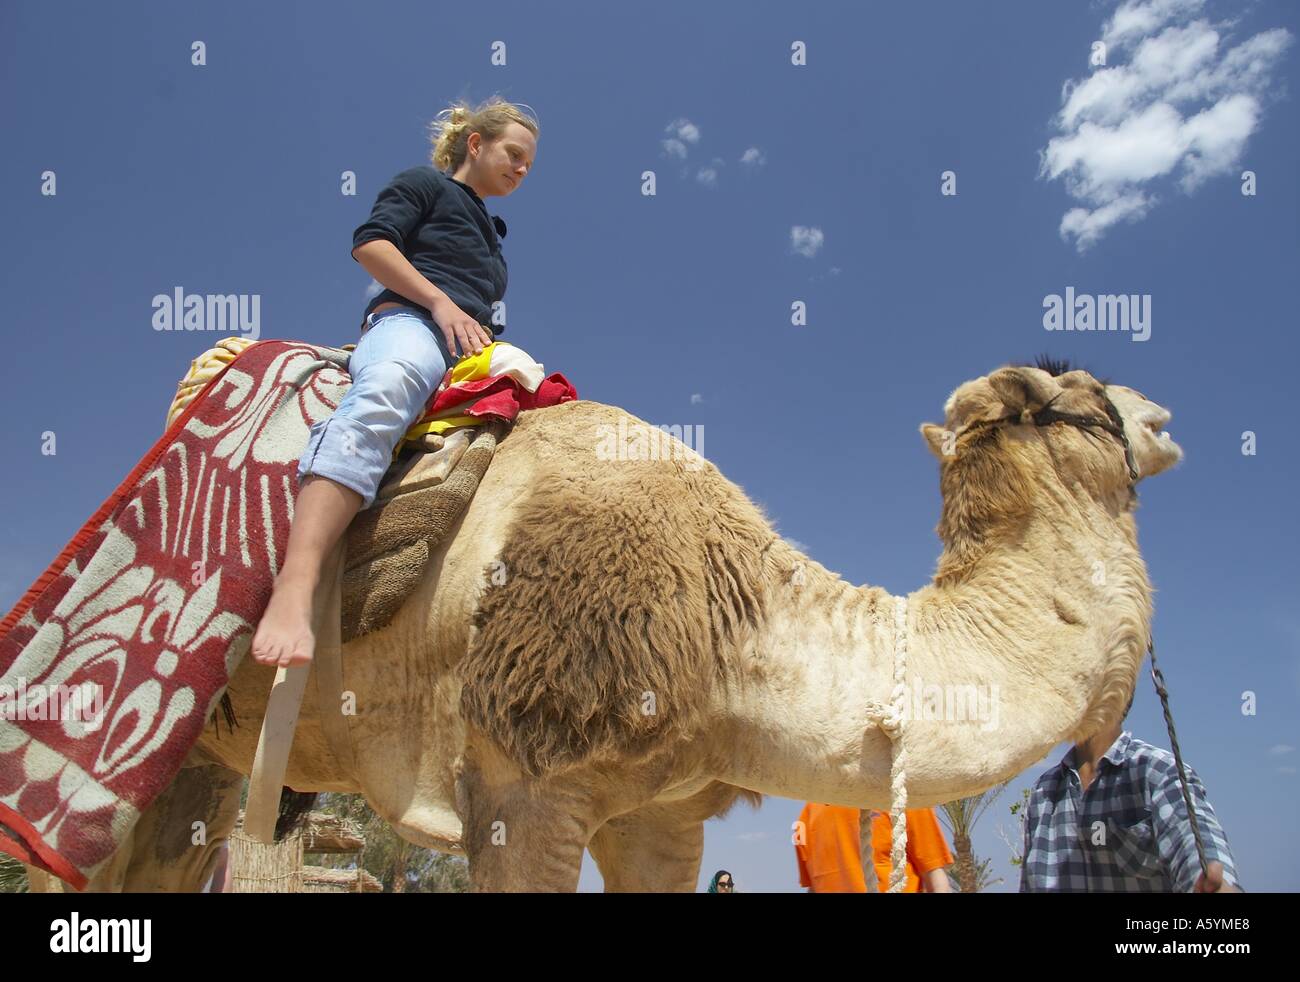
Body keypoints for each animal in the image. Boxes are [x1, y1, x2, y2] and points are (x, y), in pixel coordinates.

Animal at [25, 359, 1182, 892]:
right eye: (1079, 393)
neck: (740, 620)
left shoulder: (662, 813)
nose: (1163, 413)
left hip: (204, 756)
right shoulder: (525, 776)